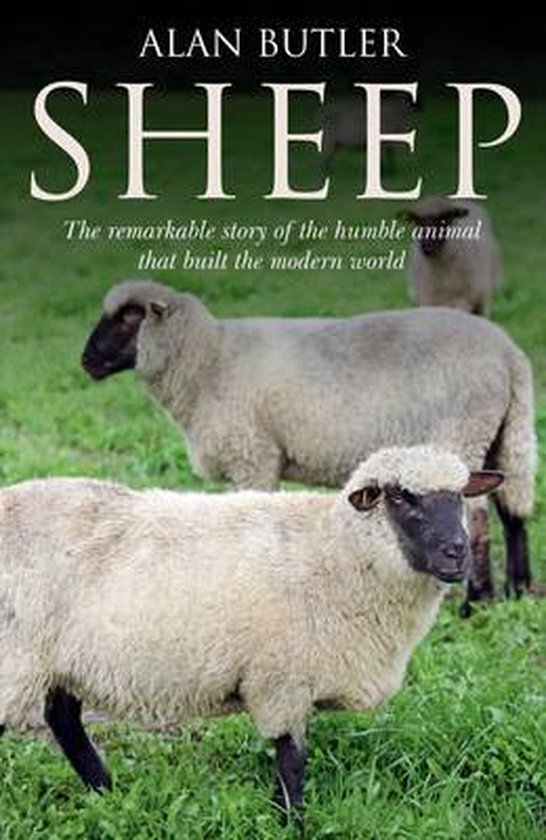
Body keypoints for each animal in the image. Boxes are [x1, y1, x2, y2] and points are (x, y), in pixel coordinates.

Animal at [0, 446, 503, 828]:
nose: (457, 553)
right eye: (400, 497)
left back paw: (104, 791)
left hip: (58, 658)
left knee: (63, 718)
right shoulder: (283, 680)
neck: (336, 554)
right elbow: (292, 760)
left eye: (460, 496)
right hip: (17, 659)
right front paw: (291, 822)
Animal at [81, 279, 536, 613]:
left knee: (476, 514)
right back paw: (518, 590)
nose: (87, 362)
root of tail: (509, 355)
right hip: (502, 433)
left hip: (461, 432)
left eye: (129, 317)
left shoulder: (254, 455)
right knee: (511, 508)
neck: (207, 361)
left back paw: (476, 601)